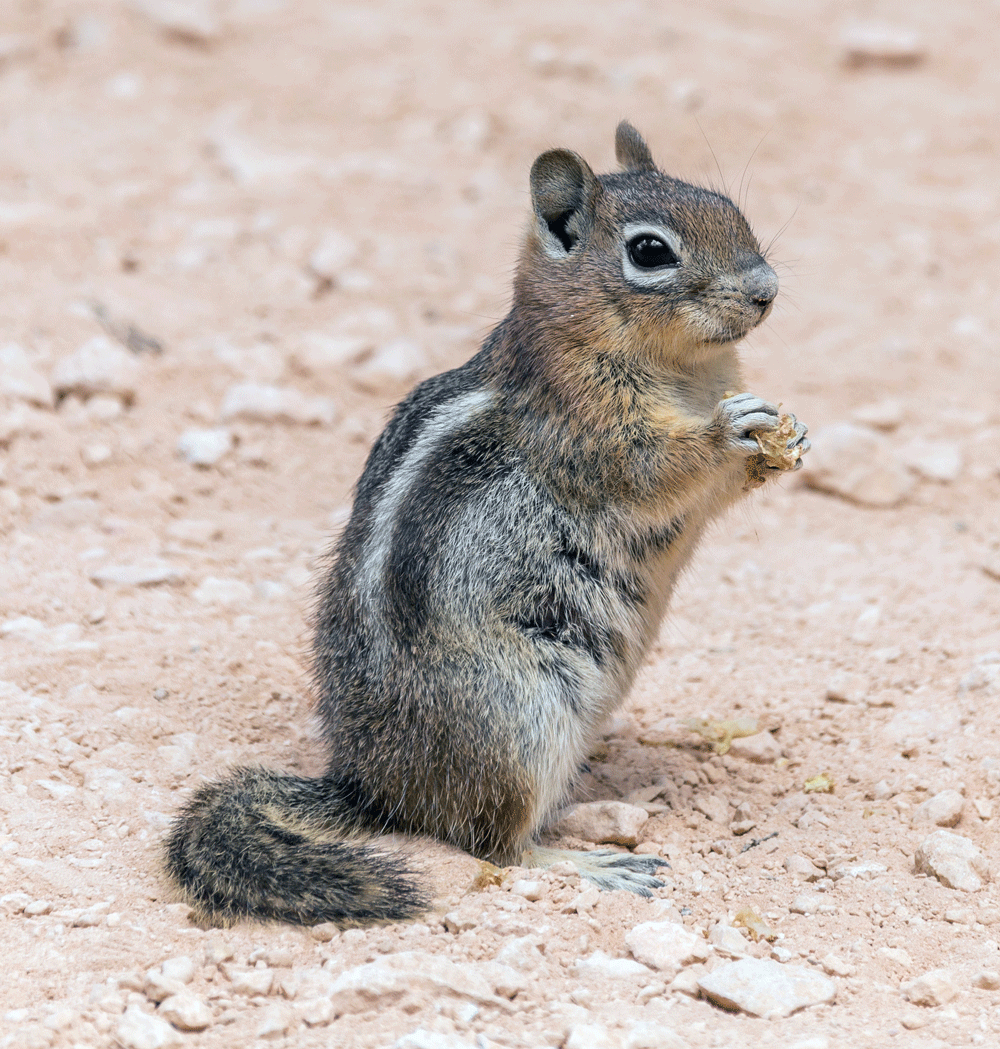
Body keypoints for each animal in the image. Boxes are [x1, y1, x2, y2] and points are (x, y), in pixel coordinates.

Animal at [164, 122, 809, 927]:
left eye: (731, 210)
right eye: (650, 251)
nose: (766, 290)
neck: (687, 373)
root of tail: (375, 786)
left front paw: (787, 438)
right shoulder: (584, 430)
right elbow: (654, 467)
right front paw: (731, 430)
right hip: (519, 722)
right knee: (494, 844)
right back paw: (587, 862)